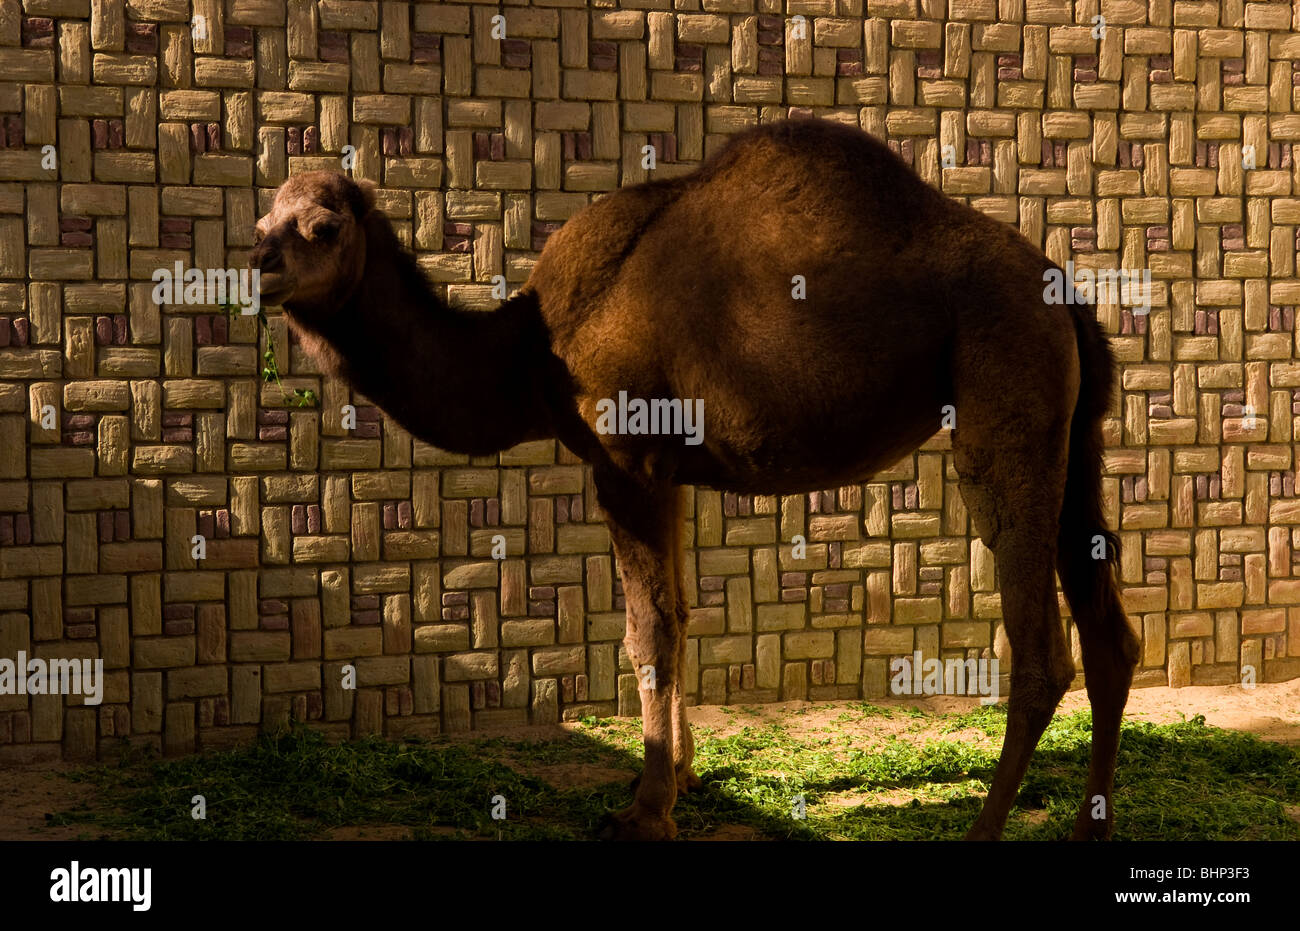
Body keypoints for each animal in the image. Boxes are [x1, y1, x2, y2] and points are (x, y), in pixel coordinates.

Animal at [251, 117, 1139, 841]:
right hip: (1076, 435)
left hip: (1005, 392)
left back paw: (985, 829)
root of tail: (1068, 297)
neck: (530, 347)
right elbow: (678, 614)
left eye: (323, 226)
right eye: (263, 217)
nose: (257, 264)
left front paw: (646, 809)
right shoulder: (666, 466)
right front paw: (682, 775)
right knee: (1110, 634)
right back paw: (1091, 827)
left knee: (1042, 648)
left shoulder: (625, 459)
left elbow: (648, 630)